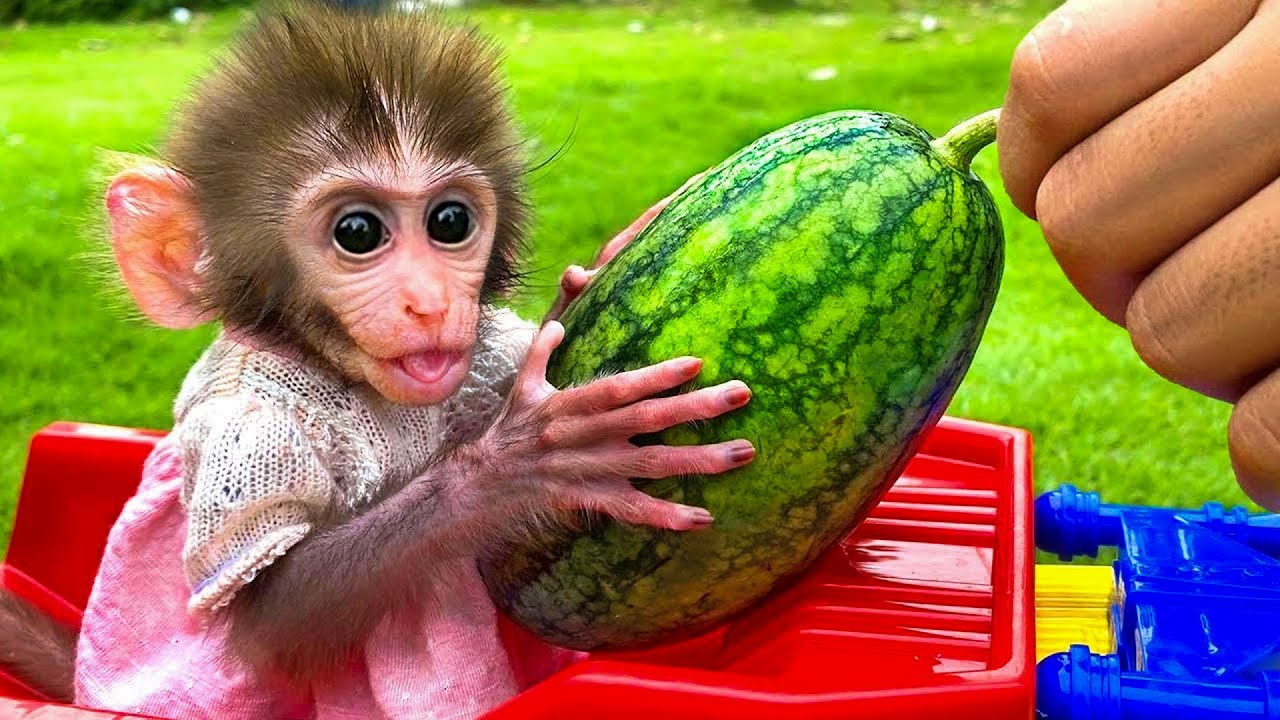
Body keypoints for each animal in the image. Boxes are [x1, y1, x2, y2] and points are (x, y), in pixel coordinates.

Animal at [0, 2, 755, 717]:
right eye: (357, 233)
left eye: (450, 222)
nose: (429, 302)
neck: (340, 376)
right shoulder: (248, 434)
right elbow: (276, 618)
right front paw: (525, 463)